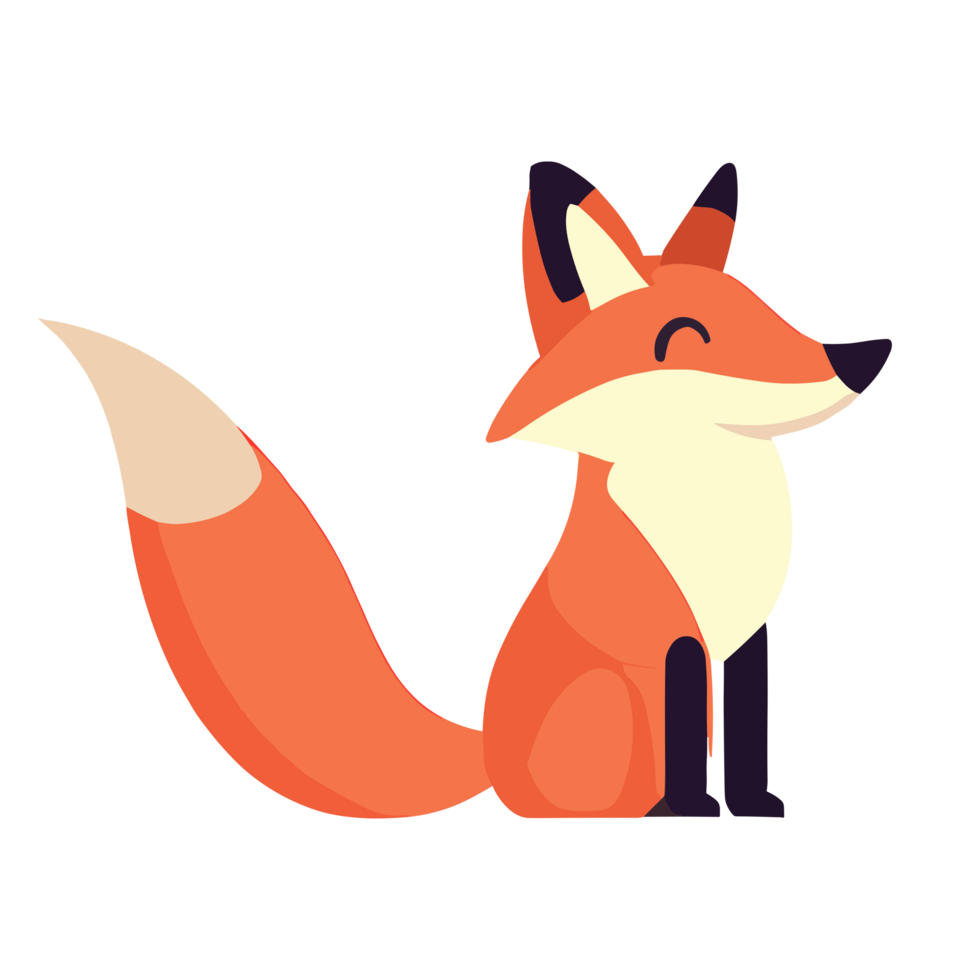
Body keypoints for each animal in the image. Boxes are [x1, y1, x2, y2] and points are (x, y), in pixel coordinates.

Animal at [40, 161, 891, 819]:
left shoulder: (749, 639)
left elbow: (747, 736)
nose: (866, 357)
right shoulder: (668, 636)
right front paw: (687, 811)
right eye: (685, 338)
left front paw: (754, 807)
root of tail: (487, 749)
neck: (709, 506)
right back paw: (632, 809)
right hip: (609, 697)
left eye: (770, 310)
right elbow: (685, 739)